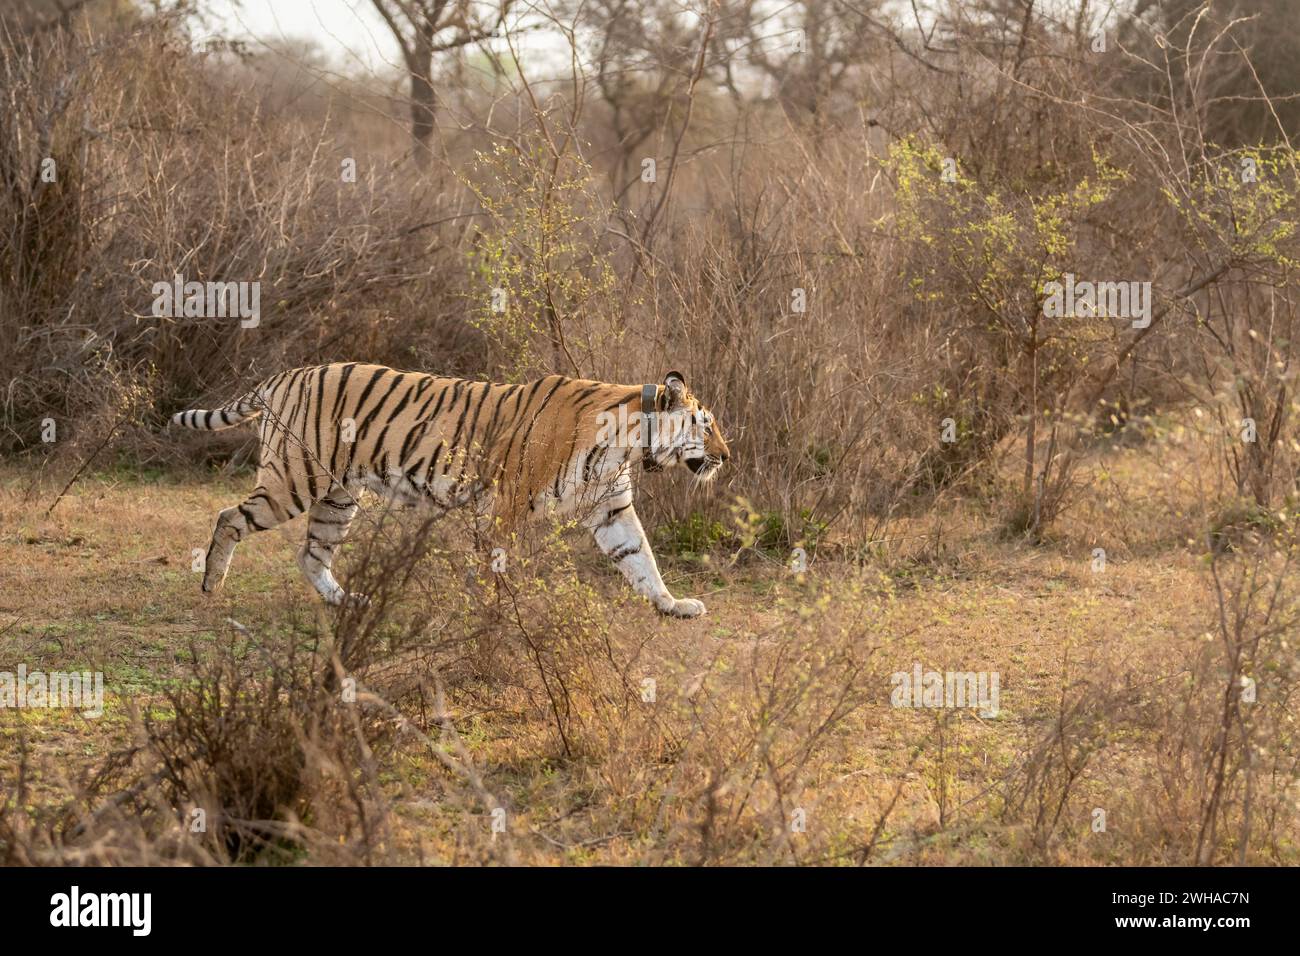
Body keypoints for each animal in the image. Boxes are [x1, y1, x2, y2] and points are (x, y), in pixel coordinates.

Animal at [171, 364, 730, 617]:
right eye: (705, 425)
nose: (727, 457)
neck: (628, 441)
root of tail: (286, 375)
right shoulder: (509, 503)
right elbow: (500, 565)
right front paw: (504, 613)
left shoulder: (612, 509)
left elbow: (642, 560)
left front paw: (673, 605)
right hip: (294, 479)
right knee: (229, 517)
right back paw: (212, 584)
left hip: (338, 496)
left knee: (312, 553)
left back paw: (346, 600)